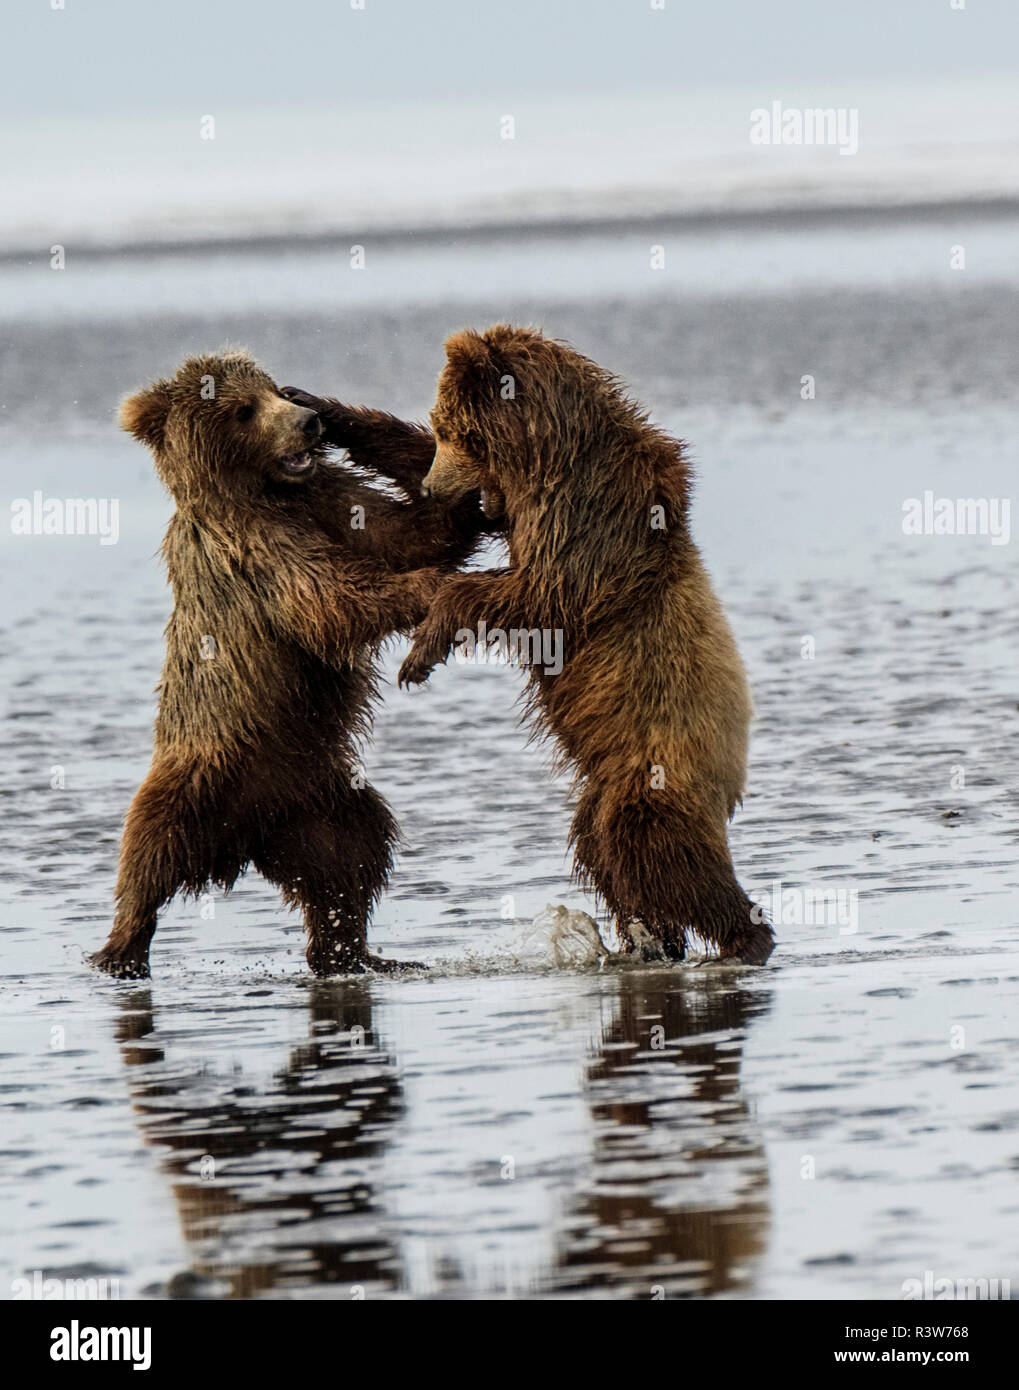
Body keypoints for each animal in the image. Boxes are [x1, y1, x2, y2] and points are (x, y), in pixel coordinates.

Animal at [91, 349, 492, 979]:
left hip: (320, 802)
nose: (306, 423)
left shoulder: (327, 501)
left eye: (272, 391)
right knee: (150, 844)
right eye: (242, 410)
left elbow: (415, 532)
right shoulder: (254, 550)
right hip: (203, 765)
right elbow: (329, 600)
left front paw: (338, 410)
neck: (267, 490)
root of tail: (244, 838)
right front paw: (432, 587)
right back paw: (120, 949)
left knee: (352, 858)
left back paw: (356, 952)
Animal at [396, 325, 774, 965]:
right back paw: (651, 938)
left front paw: (420, 652)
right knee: (607, 855)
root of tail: (730, 790)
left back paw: (743, 938)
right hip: (606, 791)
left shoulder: (591, 523)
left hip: (655, 772)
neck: (550, 461)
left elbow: (540, 596)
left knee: (661, 857)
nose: (428, 486)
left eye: (450, 429)